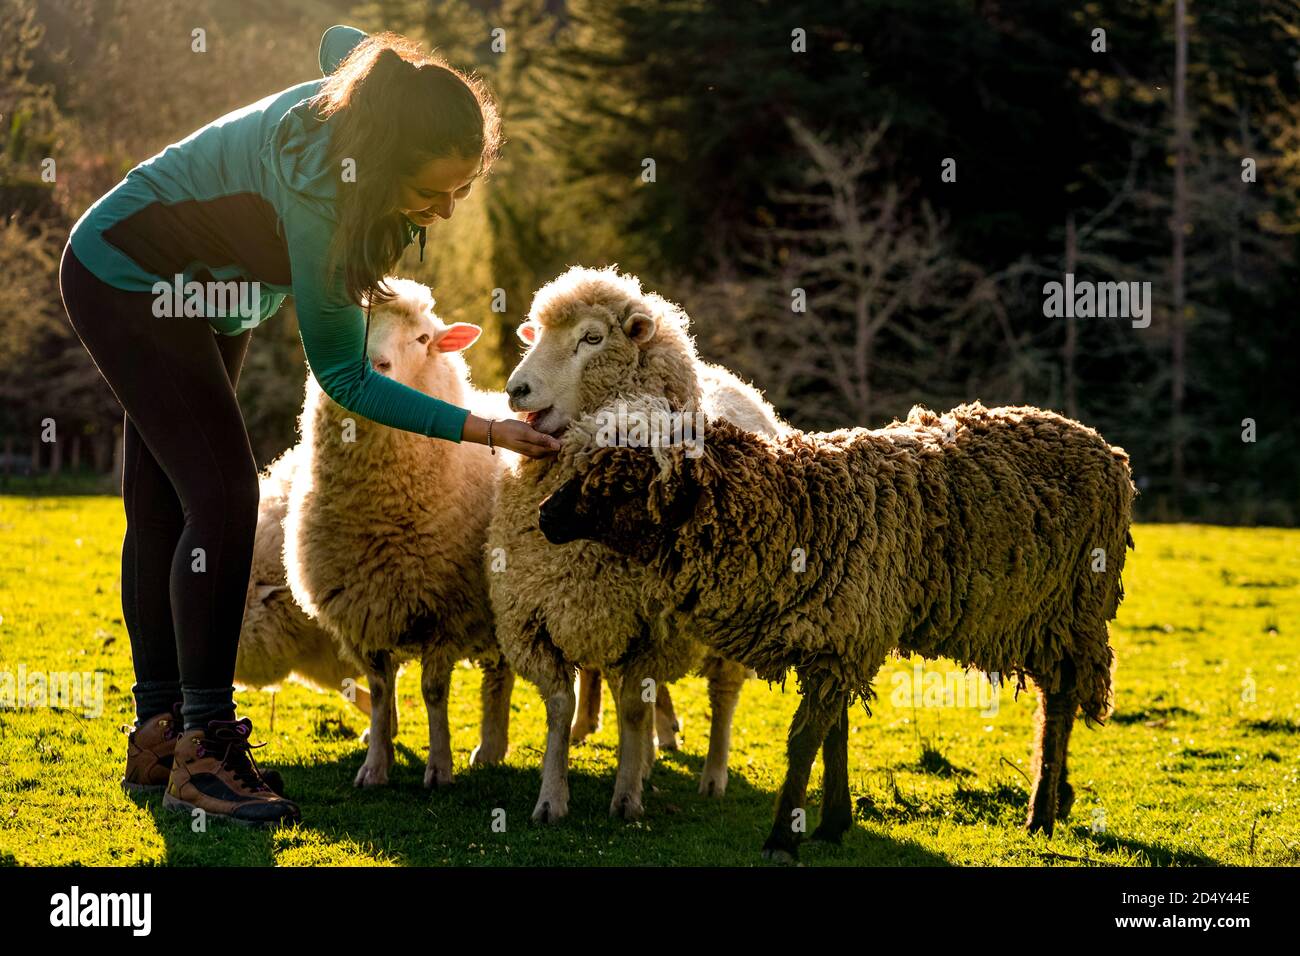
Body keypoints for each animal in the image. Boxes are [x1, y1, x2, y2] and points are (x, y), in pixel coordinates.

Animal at [284, 278, 517, 788]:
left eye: (424, 339)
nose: (376, 365)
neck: (382, 516)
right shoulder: (361, 613)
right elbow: (379, 689)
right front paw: (376, 765)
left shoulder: (446, 614)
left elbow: (433, 692)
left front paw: (439, 767)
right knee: (501, 672)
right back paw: (490, 749)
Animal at [488, 265, 789, 822]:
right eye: (536, 334)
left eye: (591, 338)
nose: (517, 390)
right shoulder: (537, 619)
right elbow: (560, 709)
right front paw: (551, 798)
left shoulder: (654, 630)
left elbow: (631, 707)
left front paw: (626, 796)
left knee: (724, 693)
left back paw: (712, 775)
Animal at [538, 395, 1135, 859]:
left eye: (620, 484)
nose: (544, 514)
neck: (798, 509)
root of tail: (1106, 449)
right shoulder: (836, 637)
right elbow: (835, 734)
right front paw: (831, 823)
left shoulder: (844, 634)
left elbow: (805, 739)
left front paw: (783, 837)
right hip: (1046, 617)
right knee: (1054, 698)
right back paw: (1060, 795)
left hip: (1071, 610)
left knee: (1060, 702)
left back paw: (1041, 814)